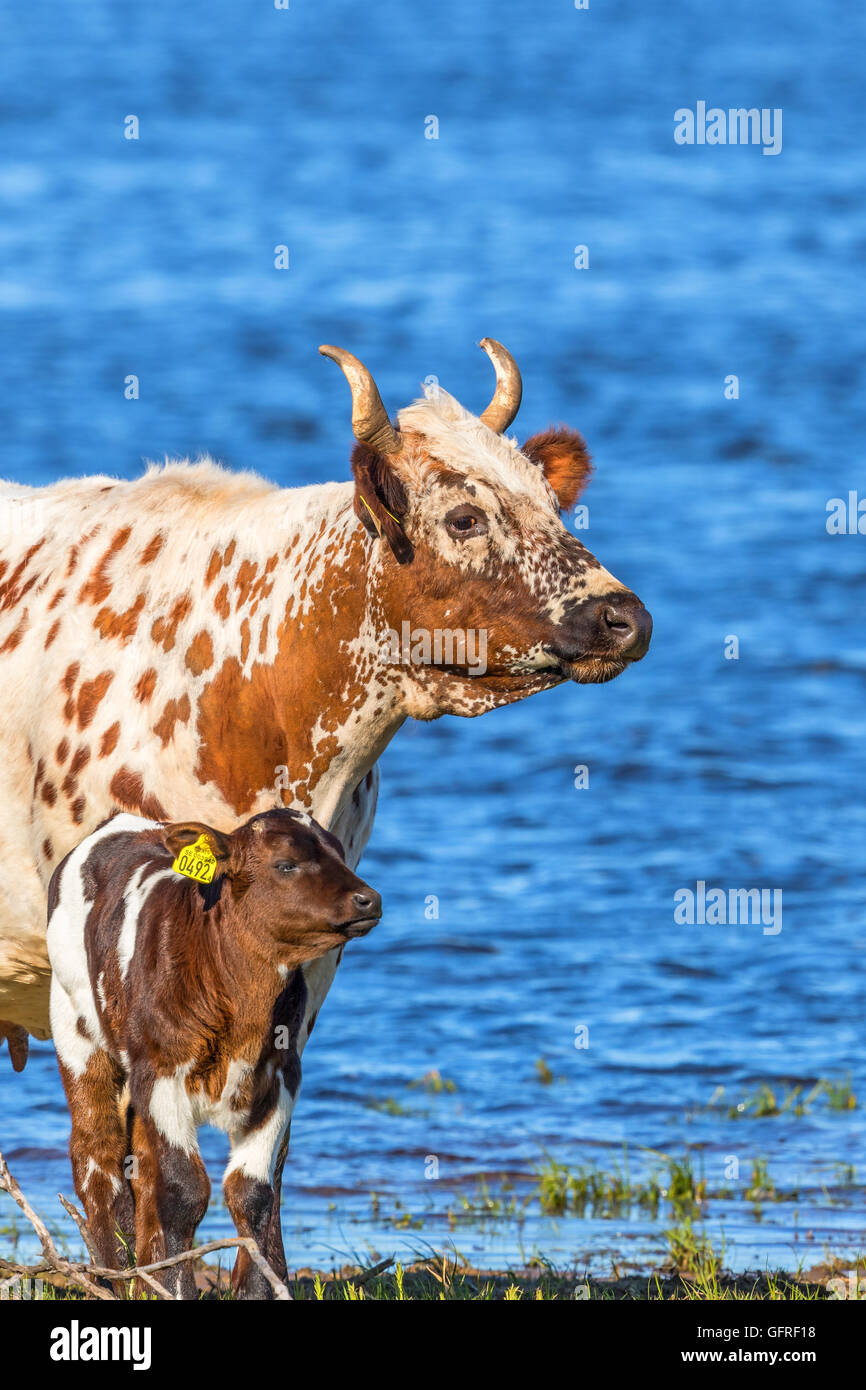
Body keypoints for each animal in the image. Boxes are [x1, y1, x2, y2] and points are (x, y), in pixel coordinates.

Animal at [47, 808, 381, 1299]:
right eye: (286, 864)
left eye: (340, 852)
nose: (368, 900)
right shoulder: (162, 1070)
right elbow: (182, 1189)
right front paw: (177, 1285)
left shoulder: (282, 1072)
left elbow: (253, 1190)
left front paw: (258, 1288)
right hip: (76, 1028)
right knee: (97, 1154)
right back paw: (114, 1275)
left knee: (140, 1161)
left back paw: (144, 1275)